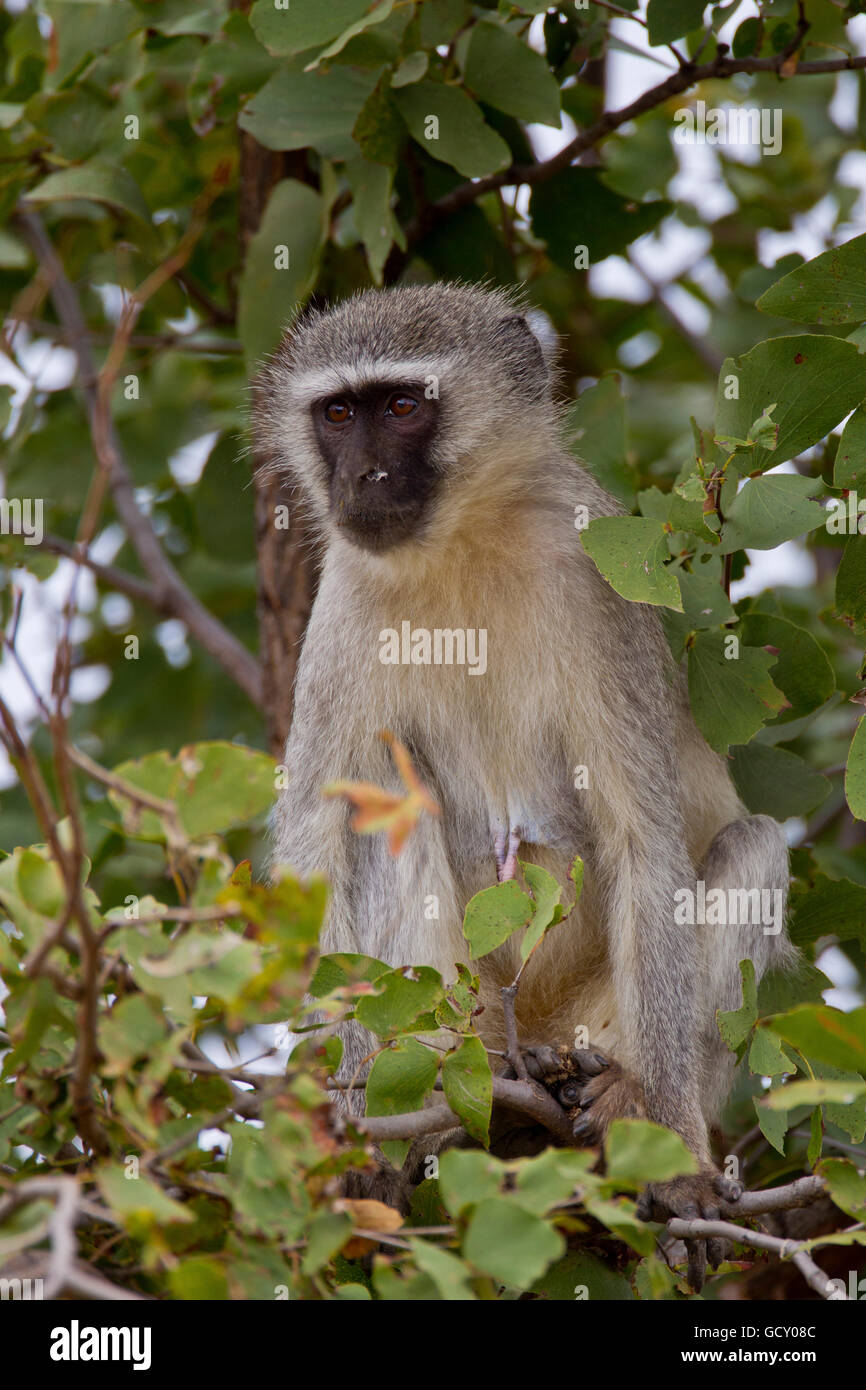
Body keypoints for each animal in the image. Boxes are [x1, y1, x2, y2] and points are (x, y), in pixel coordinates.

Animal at [258, 281, 795, 1287]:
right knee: (382, 821)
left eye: (403, 406)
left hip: (590, 1013)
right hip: (457, 1008)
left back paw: (603, 1100)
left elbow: (642, 837)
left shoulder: (599, 577)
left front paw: (672, 1155)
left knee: (753, 843)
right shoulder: (342, 605)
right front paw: (334, 1140)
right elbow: (314, 858)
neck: (461, 543)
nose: (360, 481)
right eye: (338, 414)